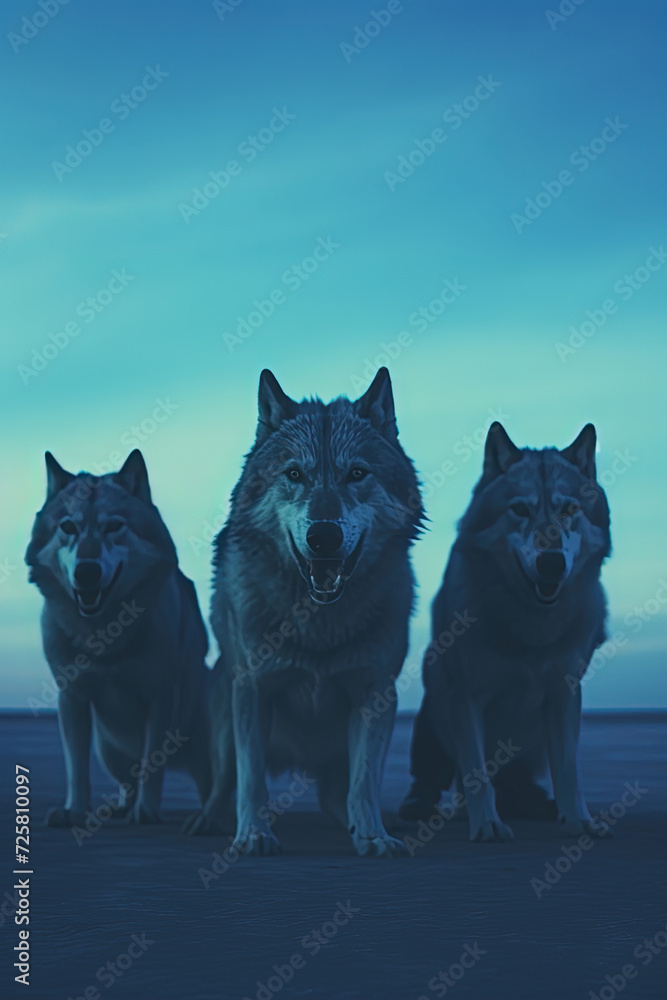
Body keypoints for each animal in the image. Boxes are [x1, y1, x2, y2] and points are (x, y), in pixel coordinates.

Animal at [26, 450, 212, 827]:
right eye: (68, 527)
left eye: (114, 526)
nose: (86, 571)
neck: (103, 633)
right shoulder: (72, 698)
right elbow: (76, 771)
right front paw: (74, 812)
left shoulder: (160, 696)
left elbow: (153, 766)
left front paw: (146, 812)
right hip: (108, 749)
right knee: (127, 780)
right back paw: (118, 809)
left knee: (210, 782)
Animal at [190, 367, 424, 856]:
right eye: (294, 473)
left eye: (357, 473)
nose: (324, 537)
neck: (320, 621)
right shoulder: (252, 690)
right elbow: (251, 780)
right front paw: (254, 836)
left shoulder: (377, 693)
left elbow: (364, 783)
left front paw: (374, 836)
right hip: (223, 709)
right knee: (223, 783)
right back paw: (208, 820)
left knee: (337, 792)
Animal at [399, 422, 611, 842]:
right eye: (520, 510)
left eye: (570, 510)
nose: (551, 563)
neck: (531, 625)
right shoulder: (465, 696)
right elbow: (477, 775)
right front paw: (488, 825)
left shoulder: (564, 694)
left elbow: (568, 771)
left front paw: (579, 821)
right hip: (432, 707)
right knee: (435, 775)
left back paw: (539, 806)